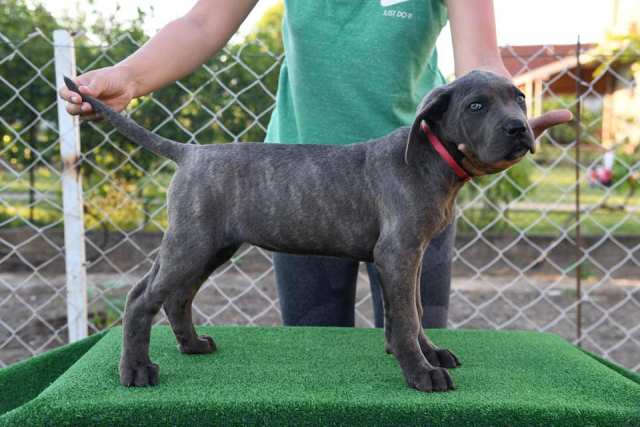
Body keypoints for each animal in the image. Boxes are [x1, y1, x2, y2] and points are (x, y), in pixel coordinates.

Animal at [65, 71, 536, 394]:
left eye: (520, 99)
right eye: (476, 106)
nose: (520, 129)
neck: (430, 160)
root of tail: (189, 152)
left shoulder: (412, 256)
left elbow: (414, 311)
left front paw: (429, 352)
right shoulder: (398, 254)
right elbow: (405, 317)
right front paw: (421, 372)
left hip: (209, 246)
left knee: (175, 296)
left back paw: (193, 345)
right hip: (192, 244)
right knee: (140, 297)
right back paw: (135, 371)